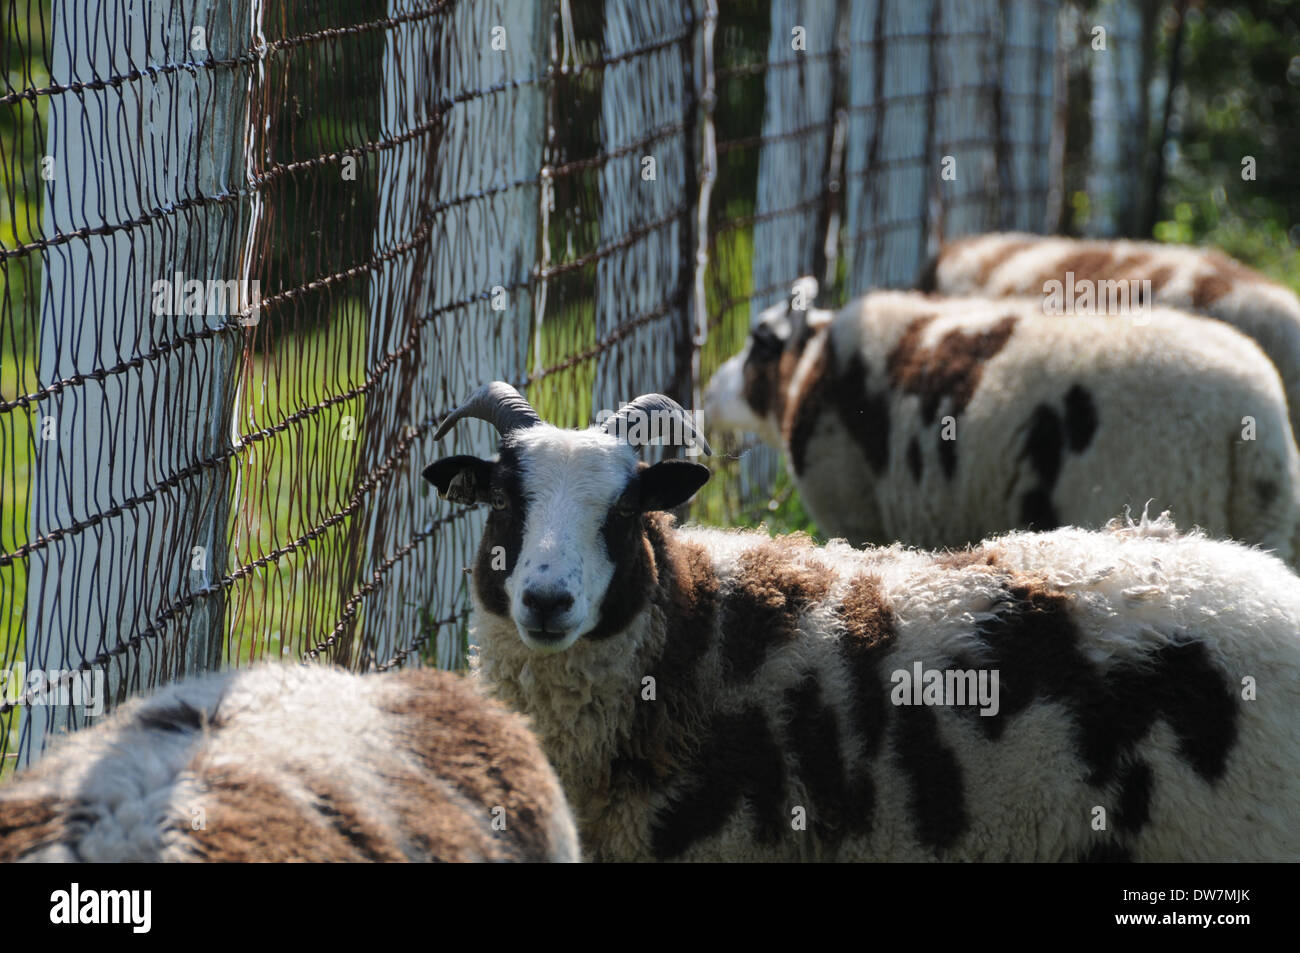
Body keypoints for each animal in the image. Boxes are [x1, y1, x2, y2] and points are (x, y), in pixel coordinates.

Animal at [702, 288, 1300, 564]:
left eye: (759, 343)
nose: (706, 392)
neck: (806, 372)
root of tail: (1252, 424)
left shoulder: (852, 510)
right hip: (1265, 524)